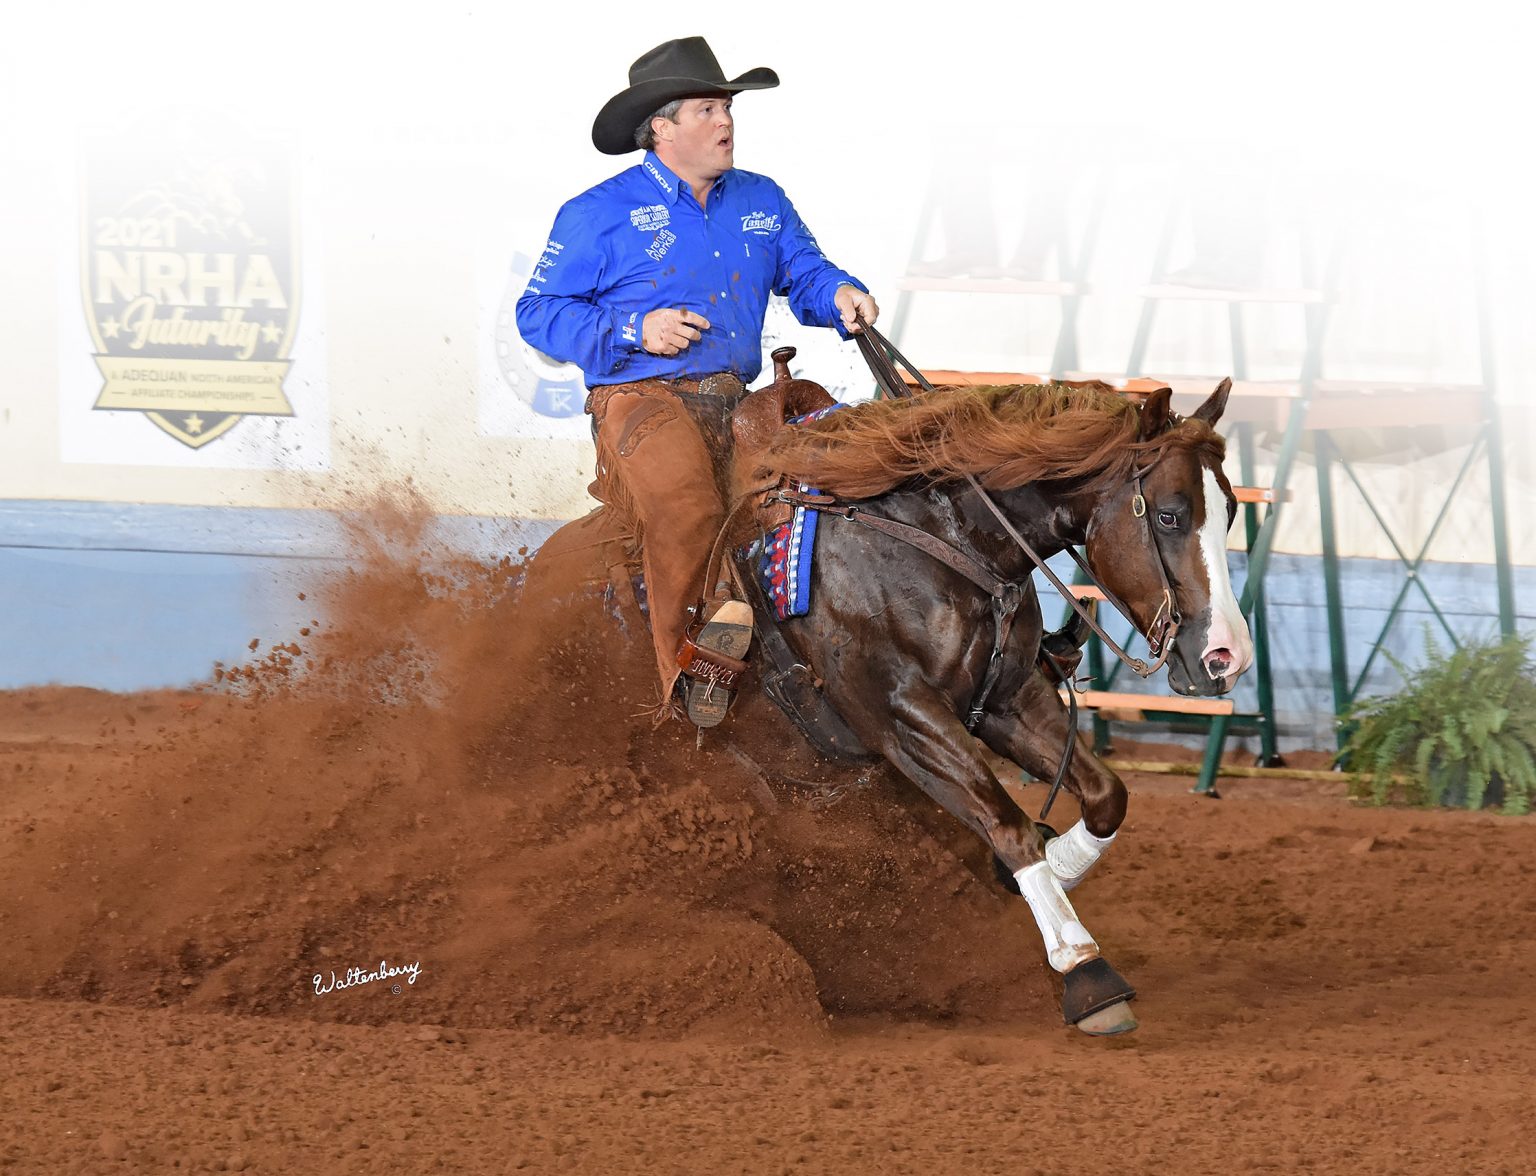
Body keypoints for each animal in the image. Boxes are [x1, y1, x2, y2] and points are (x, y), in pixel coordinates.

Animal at [531, 372, 1253, 1035]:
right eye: (1169, 514)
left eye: (1230, 513)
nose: (1227, 656)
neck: (942, 537)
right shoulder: (903, 718)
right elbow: (1009, 824)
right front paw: (1085, 971)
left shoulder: (1010, 697)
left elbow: (1107, 795)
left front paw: (1059, 868)